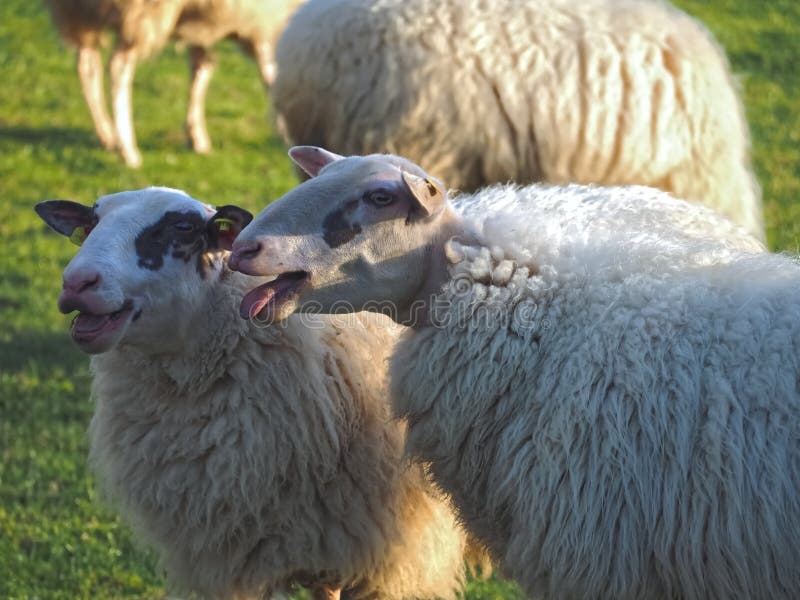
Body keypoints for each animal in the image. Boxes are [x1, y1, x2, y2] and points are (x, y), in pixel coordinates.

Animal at [45, 0, 300, 168]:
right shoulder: (262, 21)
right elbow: (270, 76)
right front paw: (286, 131)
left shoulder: (208, 22)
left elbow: (201, 70)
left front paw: (195, 136)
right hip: (143, 11)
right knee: (118, 67)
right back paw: (128, 150)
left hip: (77, 13)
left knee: (87, 64)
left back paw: (106, 135)